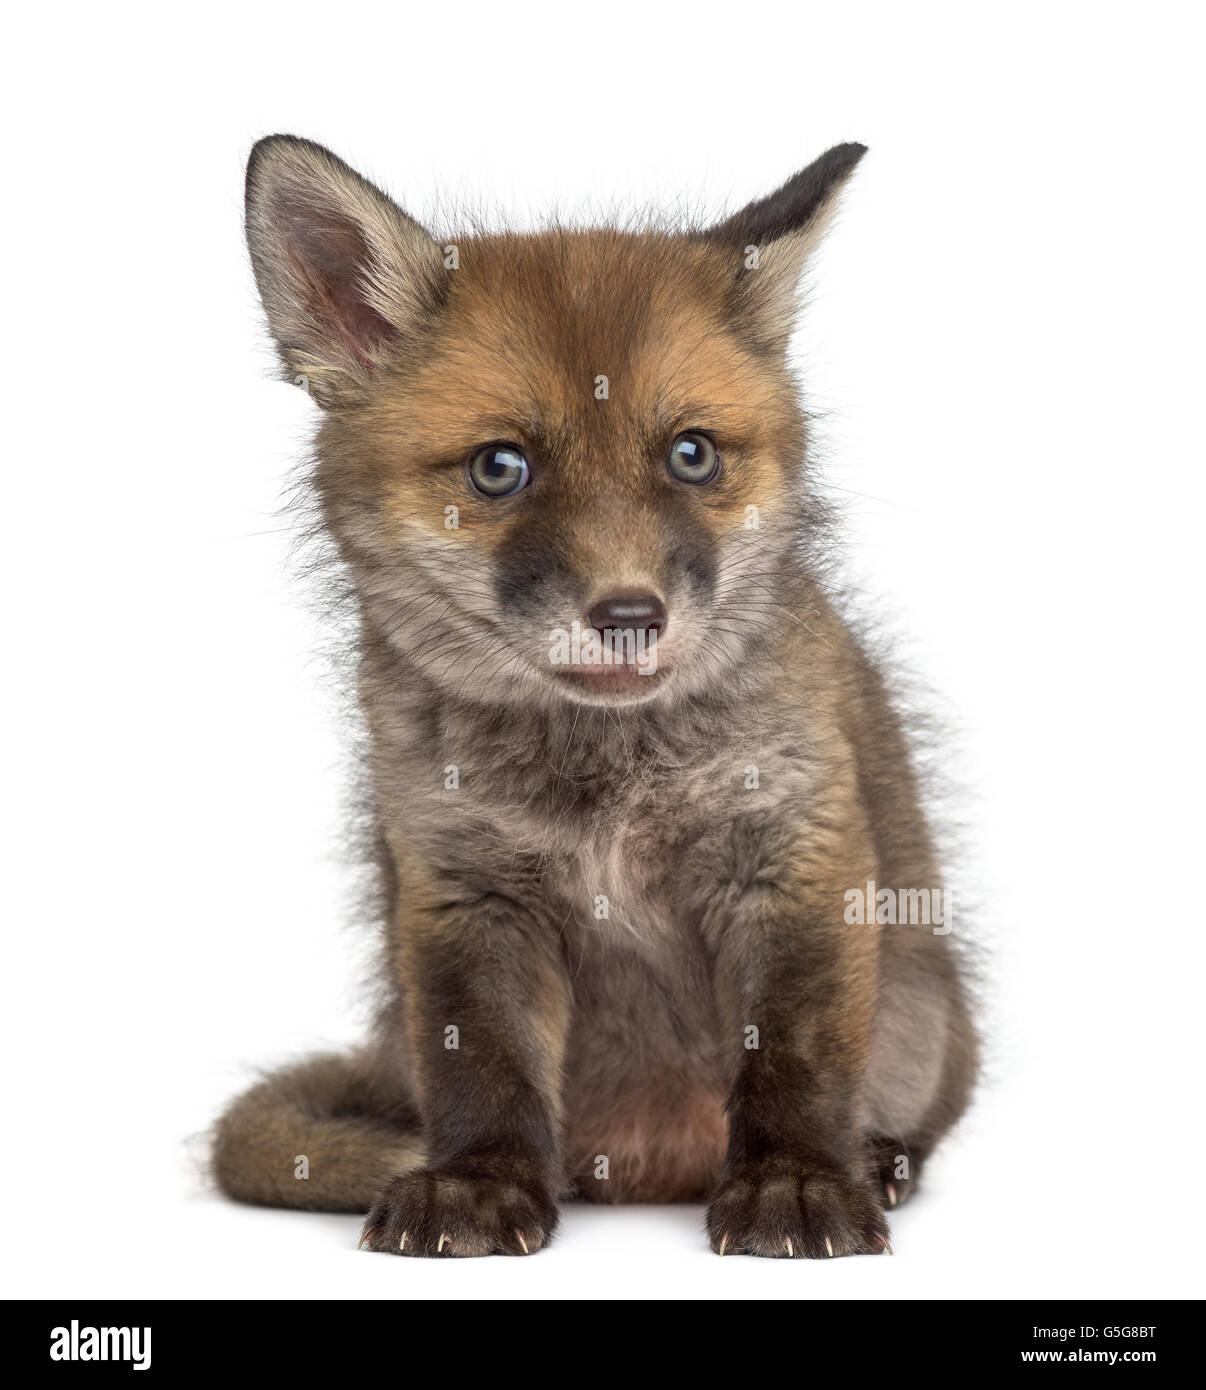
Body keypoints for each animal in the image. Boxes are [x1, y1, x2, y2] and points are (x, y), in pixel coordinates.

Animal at [212, 135, 979, 1259]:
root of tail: (646, 1169)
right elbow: (485, 1065)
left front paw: (796, 1181)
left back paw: (879, 1161)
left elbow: (792, 1054)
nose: (628, 614)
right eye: (500, 468)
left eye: (691, 454)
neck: (608, 778)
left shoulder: (794, 854)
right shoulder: (463, 882)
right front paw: (478, 1183)